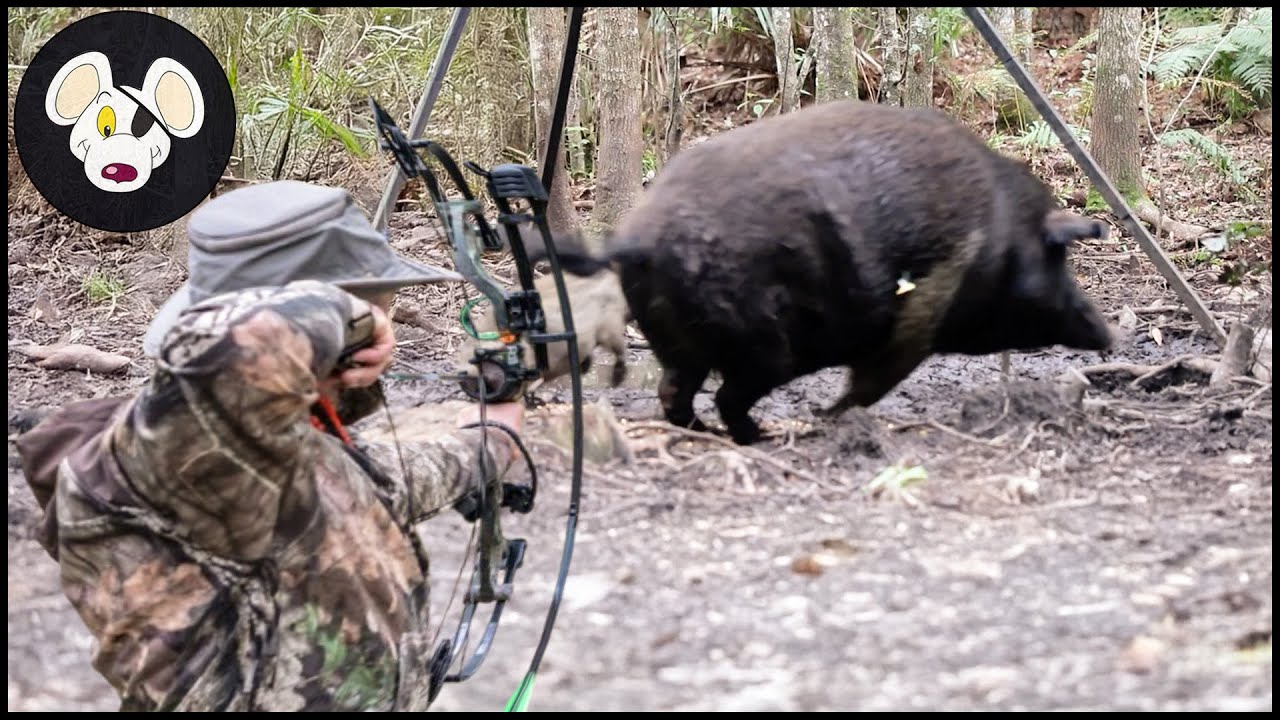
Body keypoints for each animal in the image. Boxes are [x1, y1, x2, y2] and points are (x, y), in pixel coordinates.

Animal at [545, 99, 1114, 445]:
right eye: (1057, 258)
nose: (1108, 333)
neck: (999, 238)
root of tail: (636, 237)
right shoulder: (919, 319)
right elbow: (872, 381)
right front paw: (831, 417)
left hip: (676, 337)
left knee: (674, 391)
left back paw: (708, 433)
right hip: (763, 343)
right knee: (728, 394)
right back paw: (763, 435)